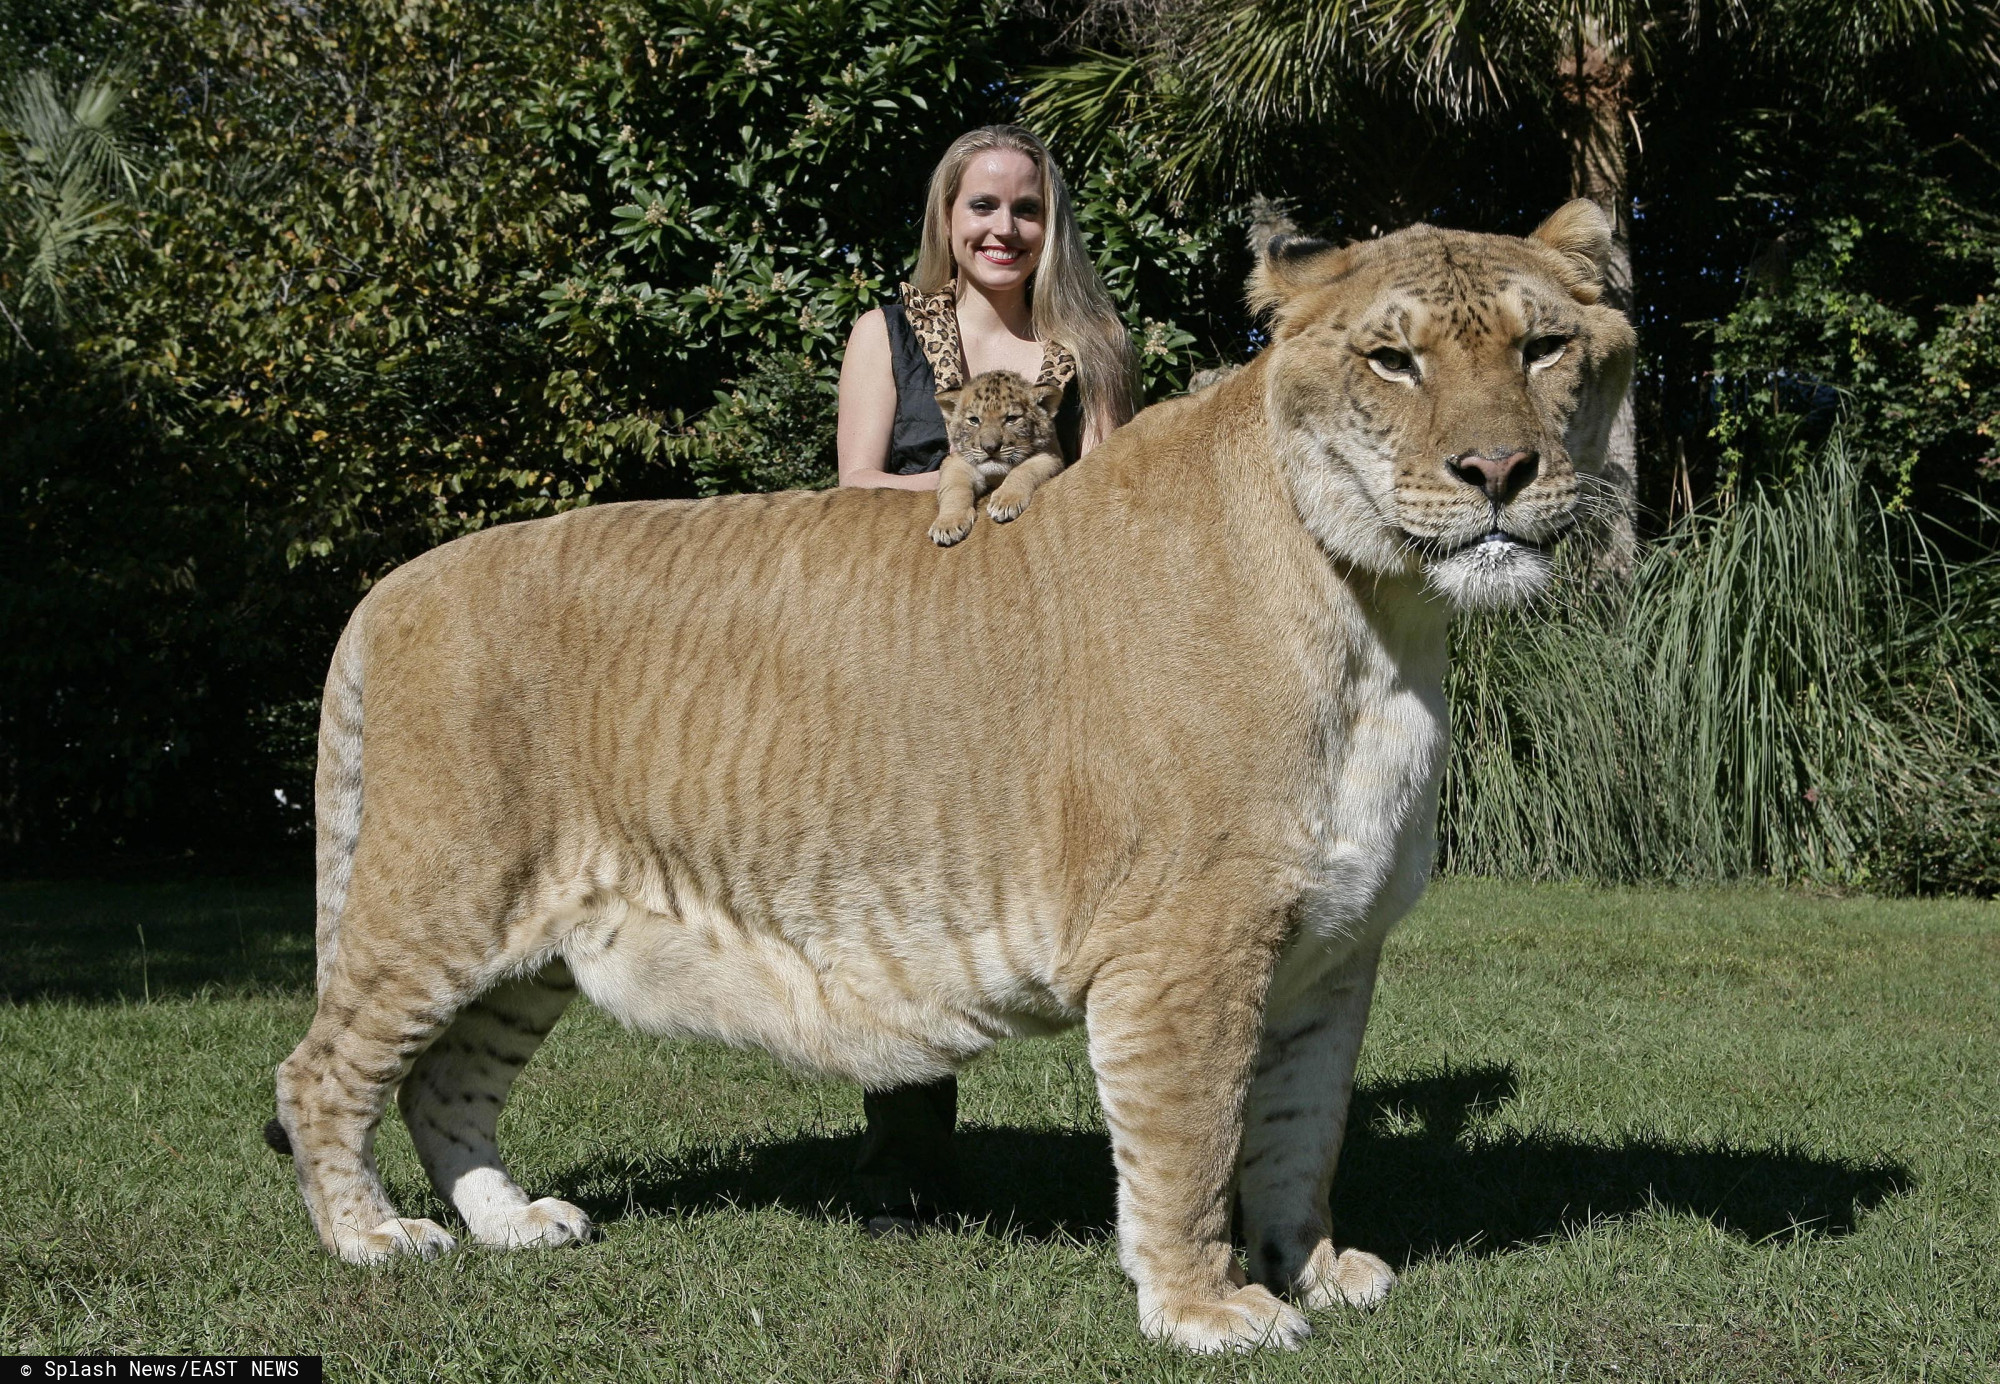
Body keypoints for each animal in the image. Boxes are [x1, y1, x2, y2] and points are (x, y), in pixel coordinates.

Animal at [929, 369, 1067, 547]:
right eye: (974, 420)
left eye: (1011, 419)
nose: (990, 448)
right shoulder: (955, 462)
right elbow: (954, 488)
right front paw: (947, 525)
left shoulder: (1050, 456)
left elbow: (1024, 470)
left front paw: (1005, 502)